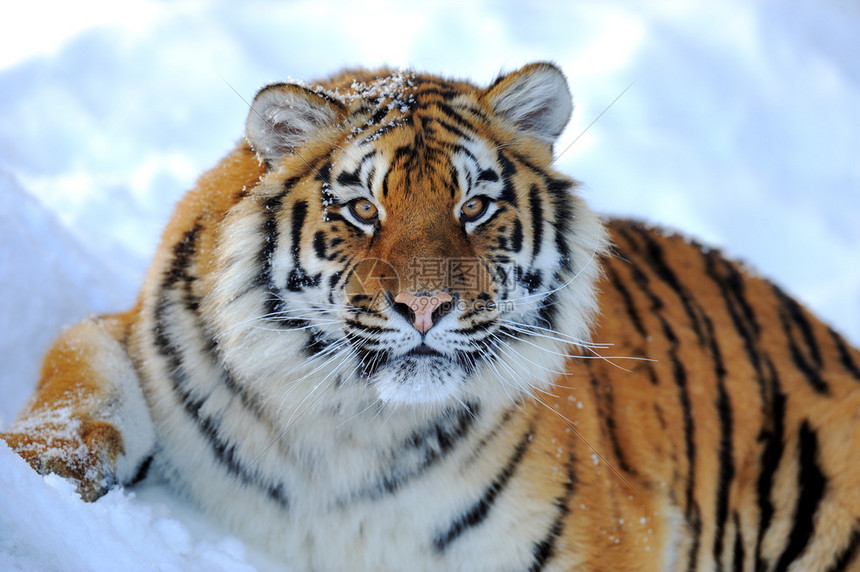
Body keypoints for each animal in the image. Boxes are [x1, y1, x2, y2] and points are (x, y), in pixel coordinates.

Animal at [2, 62, 859, 571]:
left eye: (474, 207)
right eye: (362, 208)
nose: (425, 306)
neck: (348, 428)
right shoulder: (130, 333)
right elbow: (79, 382)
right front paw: (38, 478)